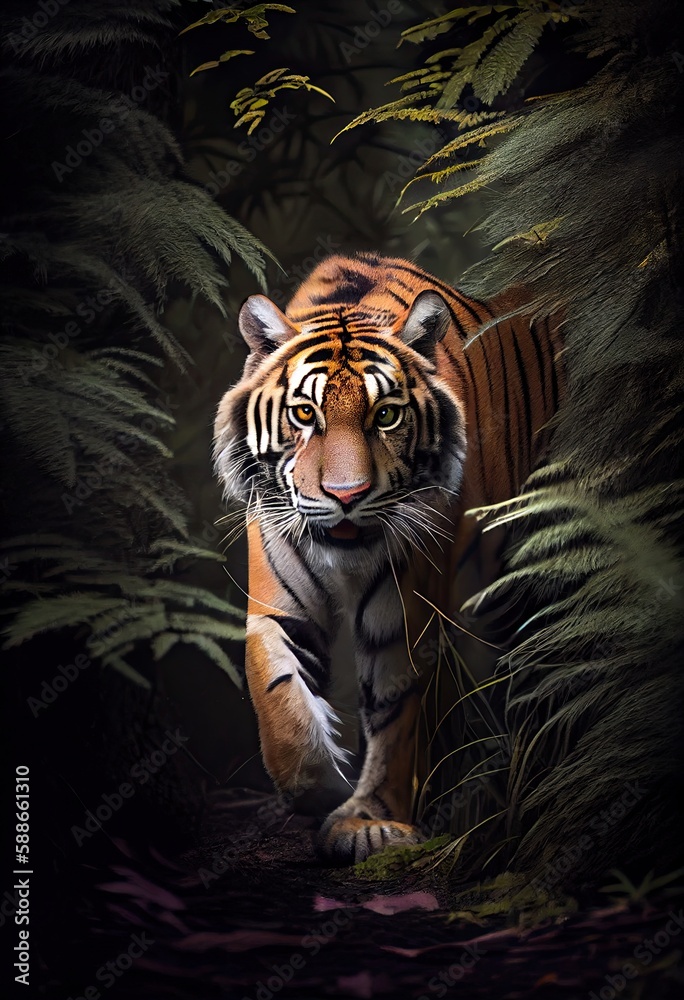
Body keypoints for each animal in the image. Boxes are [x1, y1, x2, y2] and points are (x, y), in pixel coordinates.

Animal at [213, 252, 564, 863]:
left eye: (386, 416)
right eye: (304, 414)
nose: (346, 495)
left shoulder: (405, 612)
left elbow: (397, 713)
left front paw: (369, 822)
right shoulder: (279, 608)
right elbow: (279, 698)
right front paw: (319, 789)